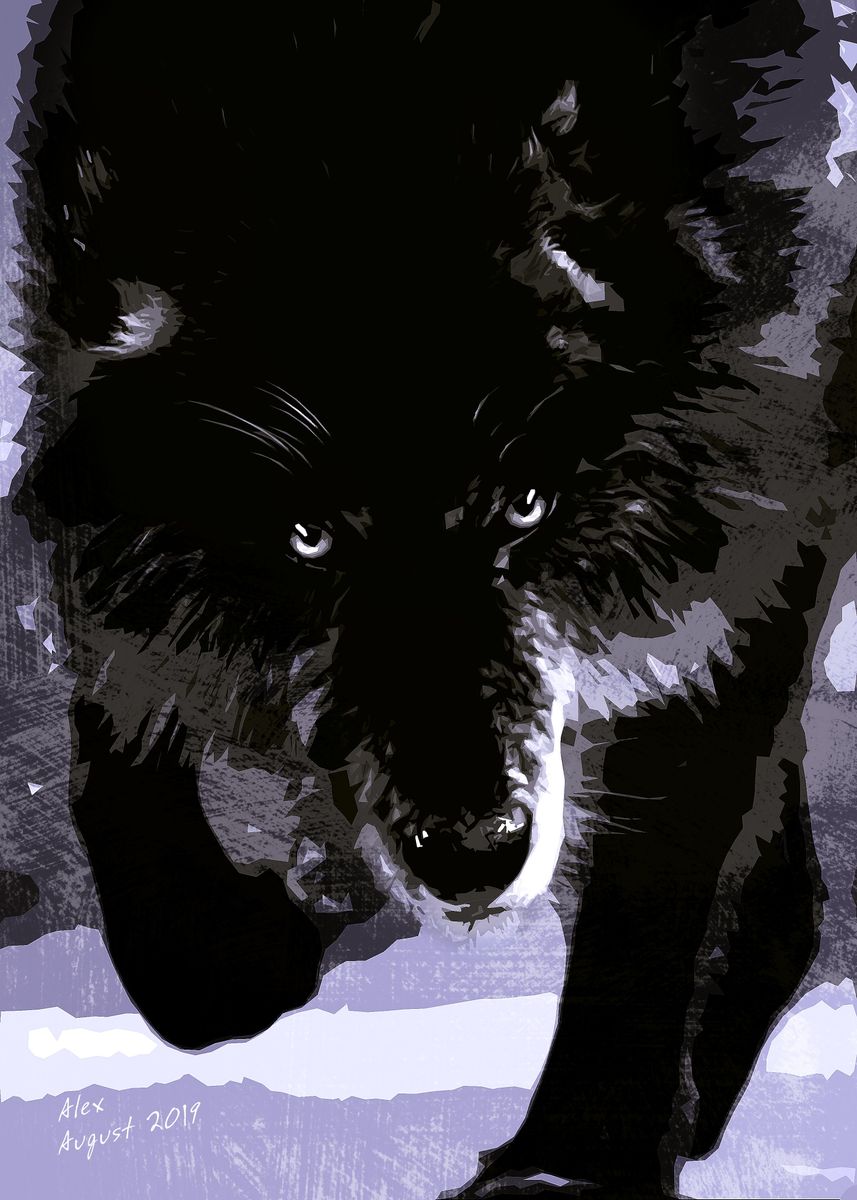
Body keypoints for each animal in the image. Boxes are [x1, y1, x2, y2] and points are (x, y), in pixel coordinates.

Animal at [12, 0, 857, 1196]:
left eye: (525, 503)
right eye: (307, 535)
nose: (469, 853)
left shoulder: (757, 481)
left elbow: (663, 875)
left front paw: (575, 1165)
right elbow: (120, 716)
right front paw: (238, 948)